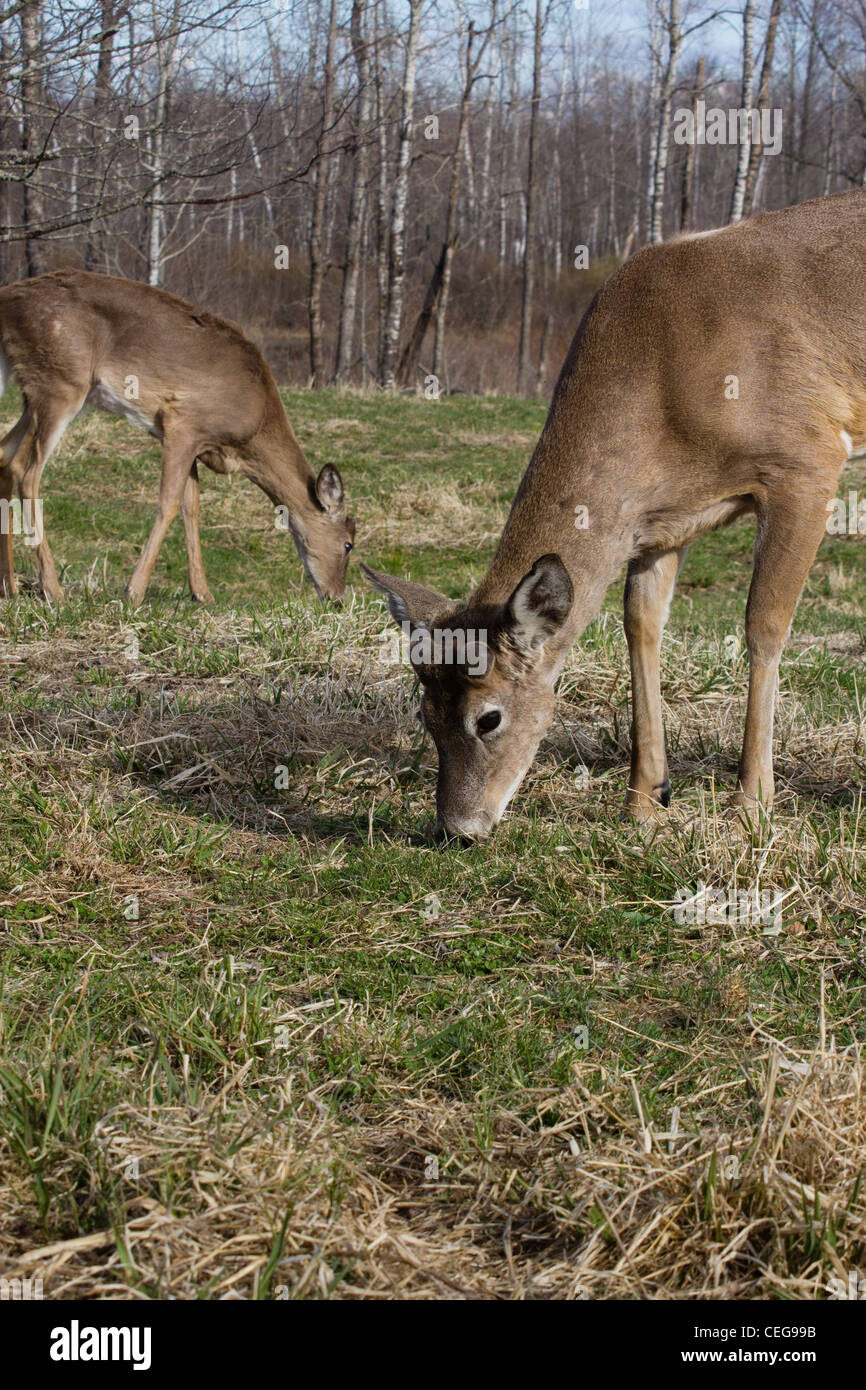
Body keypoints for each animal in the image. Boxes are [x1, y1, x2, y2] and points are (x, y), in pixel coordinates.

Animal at [0, 270, 355, 604]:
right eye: (349, 544)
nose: (337, 599)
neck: (252, 431)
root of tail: (8, 297)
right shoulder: (183, 423)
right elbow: (169, 503)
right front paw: (134, 591)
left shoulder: (193, 442)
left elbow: (191, 506)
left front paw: (202, 592)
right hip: (62, 383)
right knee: (27, 472)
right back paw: (53, 590)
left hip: (36, 392)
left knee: (5, 457)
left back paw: (11, 587)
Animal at [364, 189, 866, 842]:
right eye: (425, 715)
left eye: (488, 718)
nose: (457, 829)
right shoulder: (660, 524)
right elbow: (641, 625)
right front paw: (644, 800)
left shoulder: (806, 459)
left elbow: (764, 624)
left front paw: (752, 804)